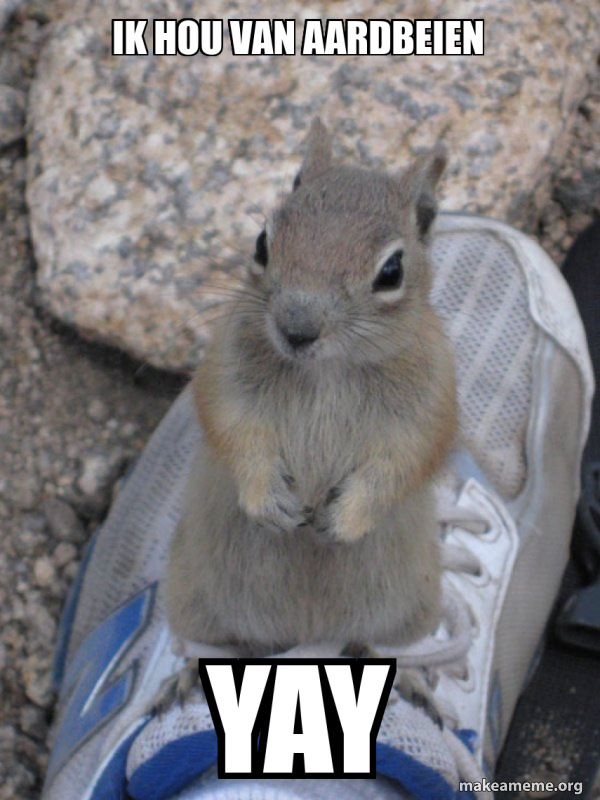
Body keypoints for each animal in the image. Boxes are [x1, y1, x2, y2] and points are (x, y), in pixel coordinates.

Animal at [165, 118, 457, 661]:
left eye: (392, 272)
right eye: (262, 241)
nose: (296, 329)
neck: (326, 370)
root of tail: (308, 635)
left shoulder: (429, 405)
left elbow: (403, 462)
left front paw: (345, 519)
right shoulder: (226, 377)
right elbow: (234, 432)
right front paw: (268, 500)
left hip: (415, 611)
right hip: (189, 598)